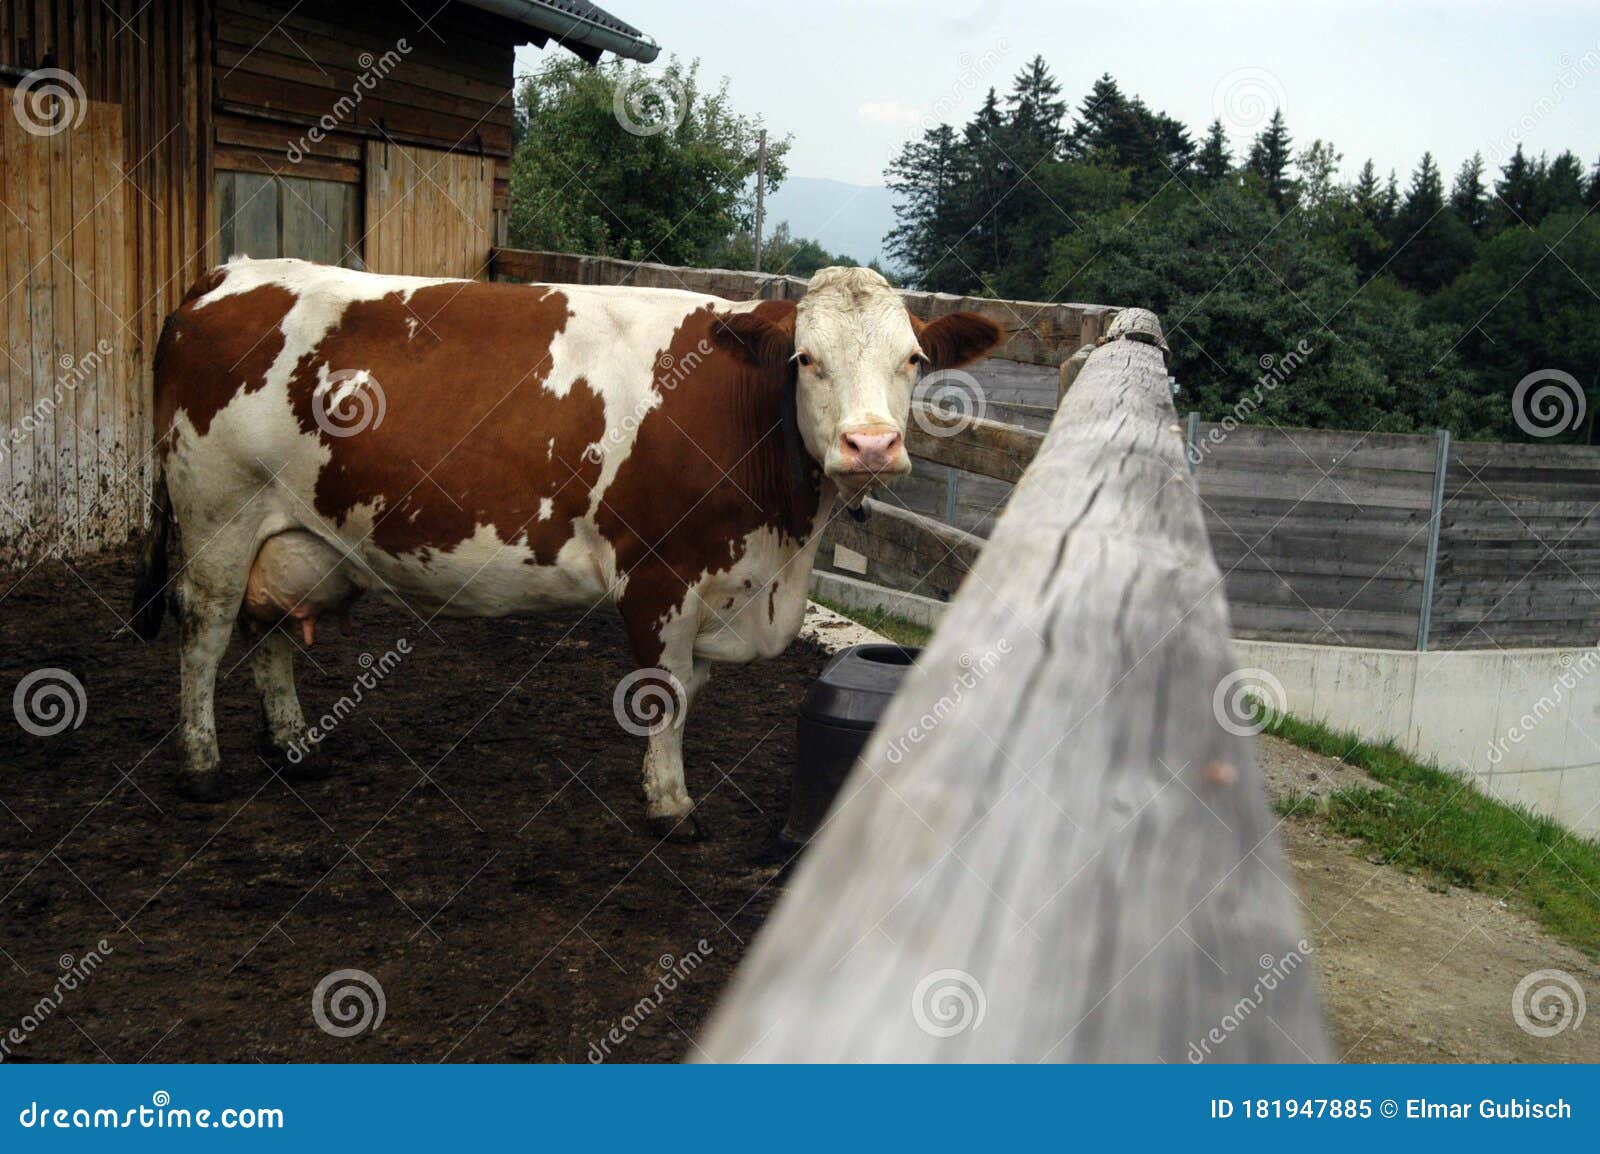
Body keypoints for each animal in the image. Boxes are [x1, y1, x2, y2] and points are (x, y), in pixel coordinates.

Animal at [130, 258, 1002, 837]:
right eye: (806, 359)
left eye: (913, 359)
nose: (870, 446)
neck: (780, 551)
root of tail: (228, 272)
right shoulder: (660, 575)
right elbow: (664, 693)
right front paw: (670, 807)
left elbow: (691, 692)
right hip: (217, 514)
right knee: (205, 631)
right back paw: (203, 767)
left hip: (288, 533)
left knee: (270, 630)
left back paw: (295, 748)